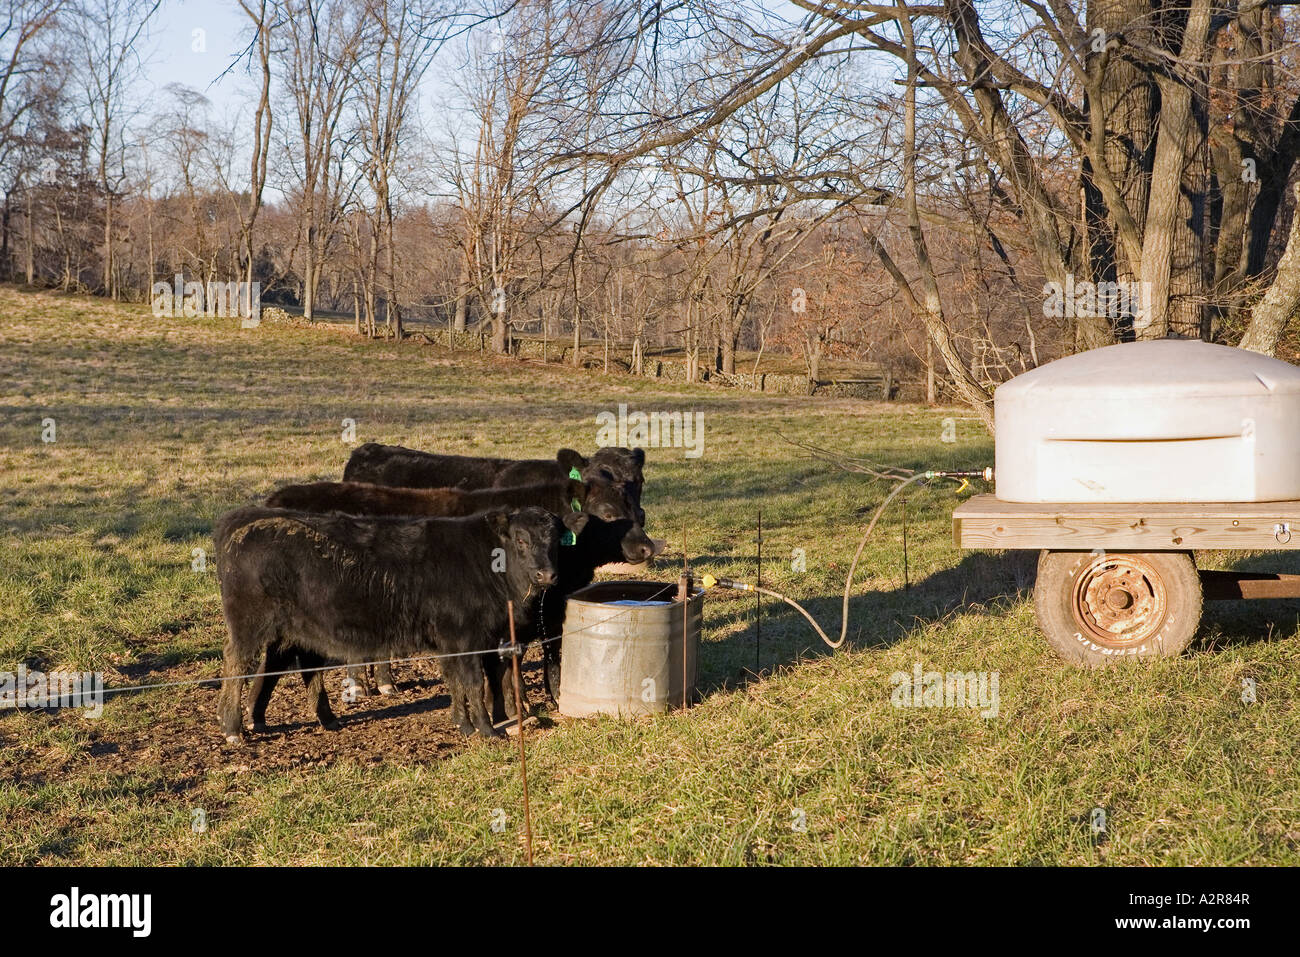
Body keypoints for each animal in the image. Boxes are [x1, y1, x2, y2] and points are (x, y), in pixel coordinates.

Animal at [213, 505, 574, 741]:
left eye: (555, 541)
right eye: (521, 540)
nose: (547, 575)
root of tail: (243, 519)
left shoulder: (467, 641)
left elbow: (461, 681)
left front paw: (465, 723)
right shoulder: (464, 637)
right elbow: (473, 682)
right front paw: (486, 730)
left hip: (295, 629)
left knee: (302, 666)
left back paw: (323, 718)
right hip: (249, 625)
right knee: (236, 665)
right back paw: (233, 728)